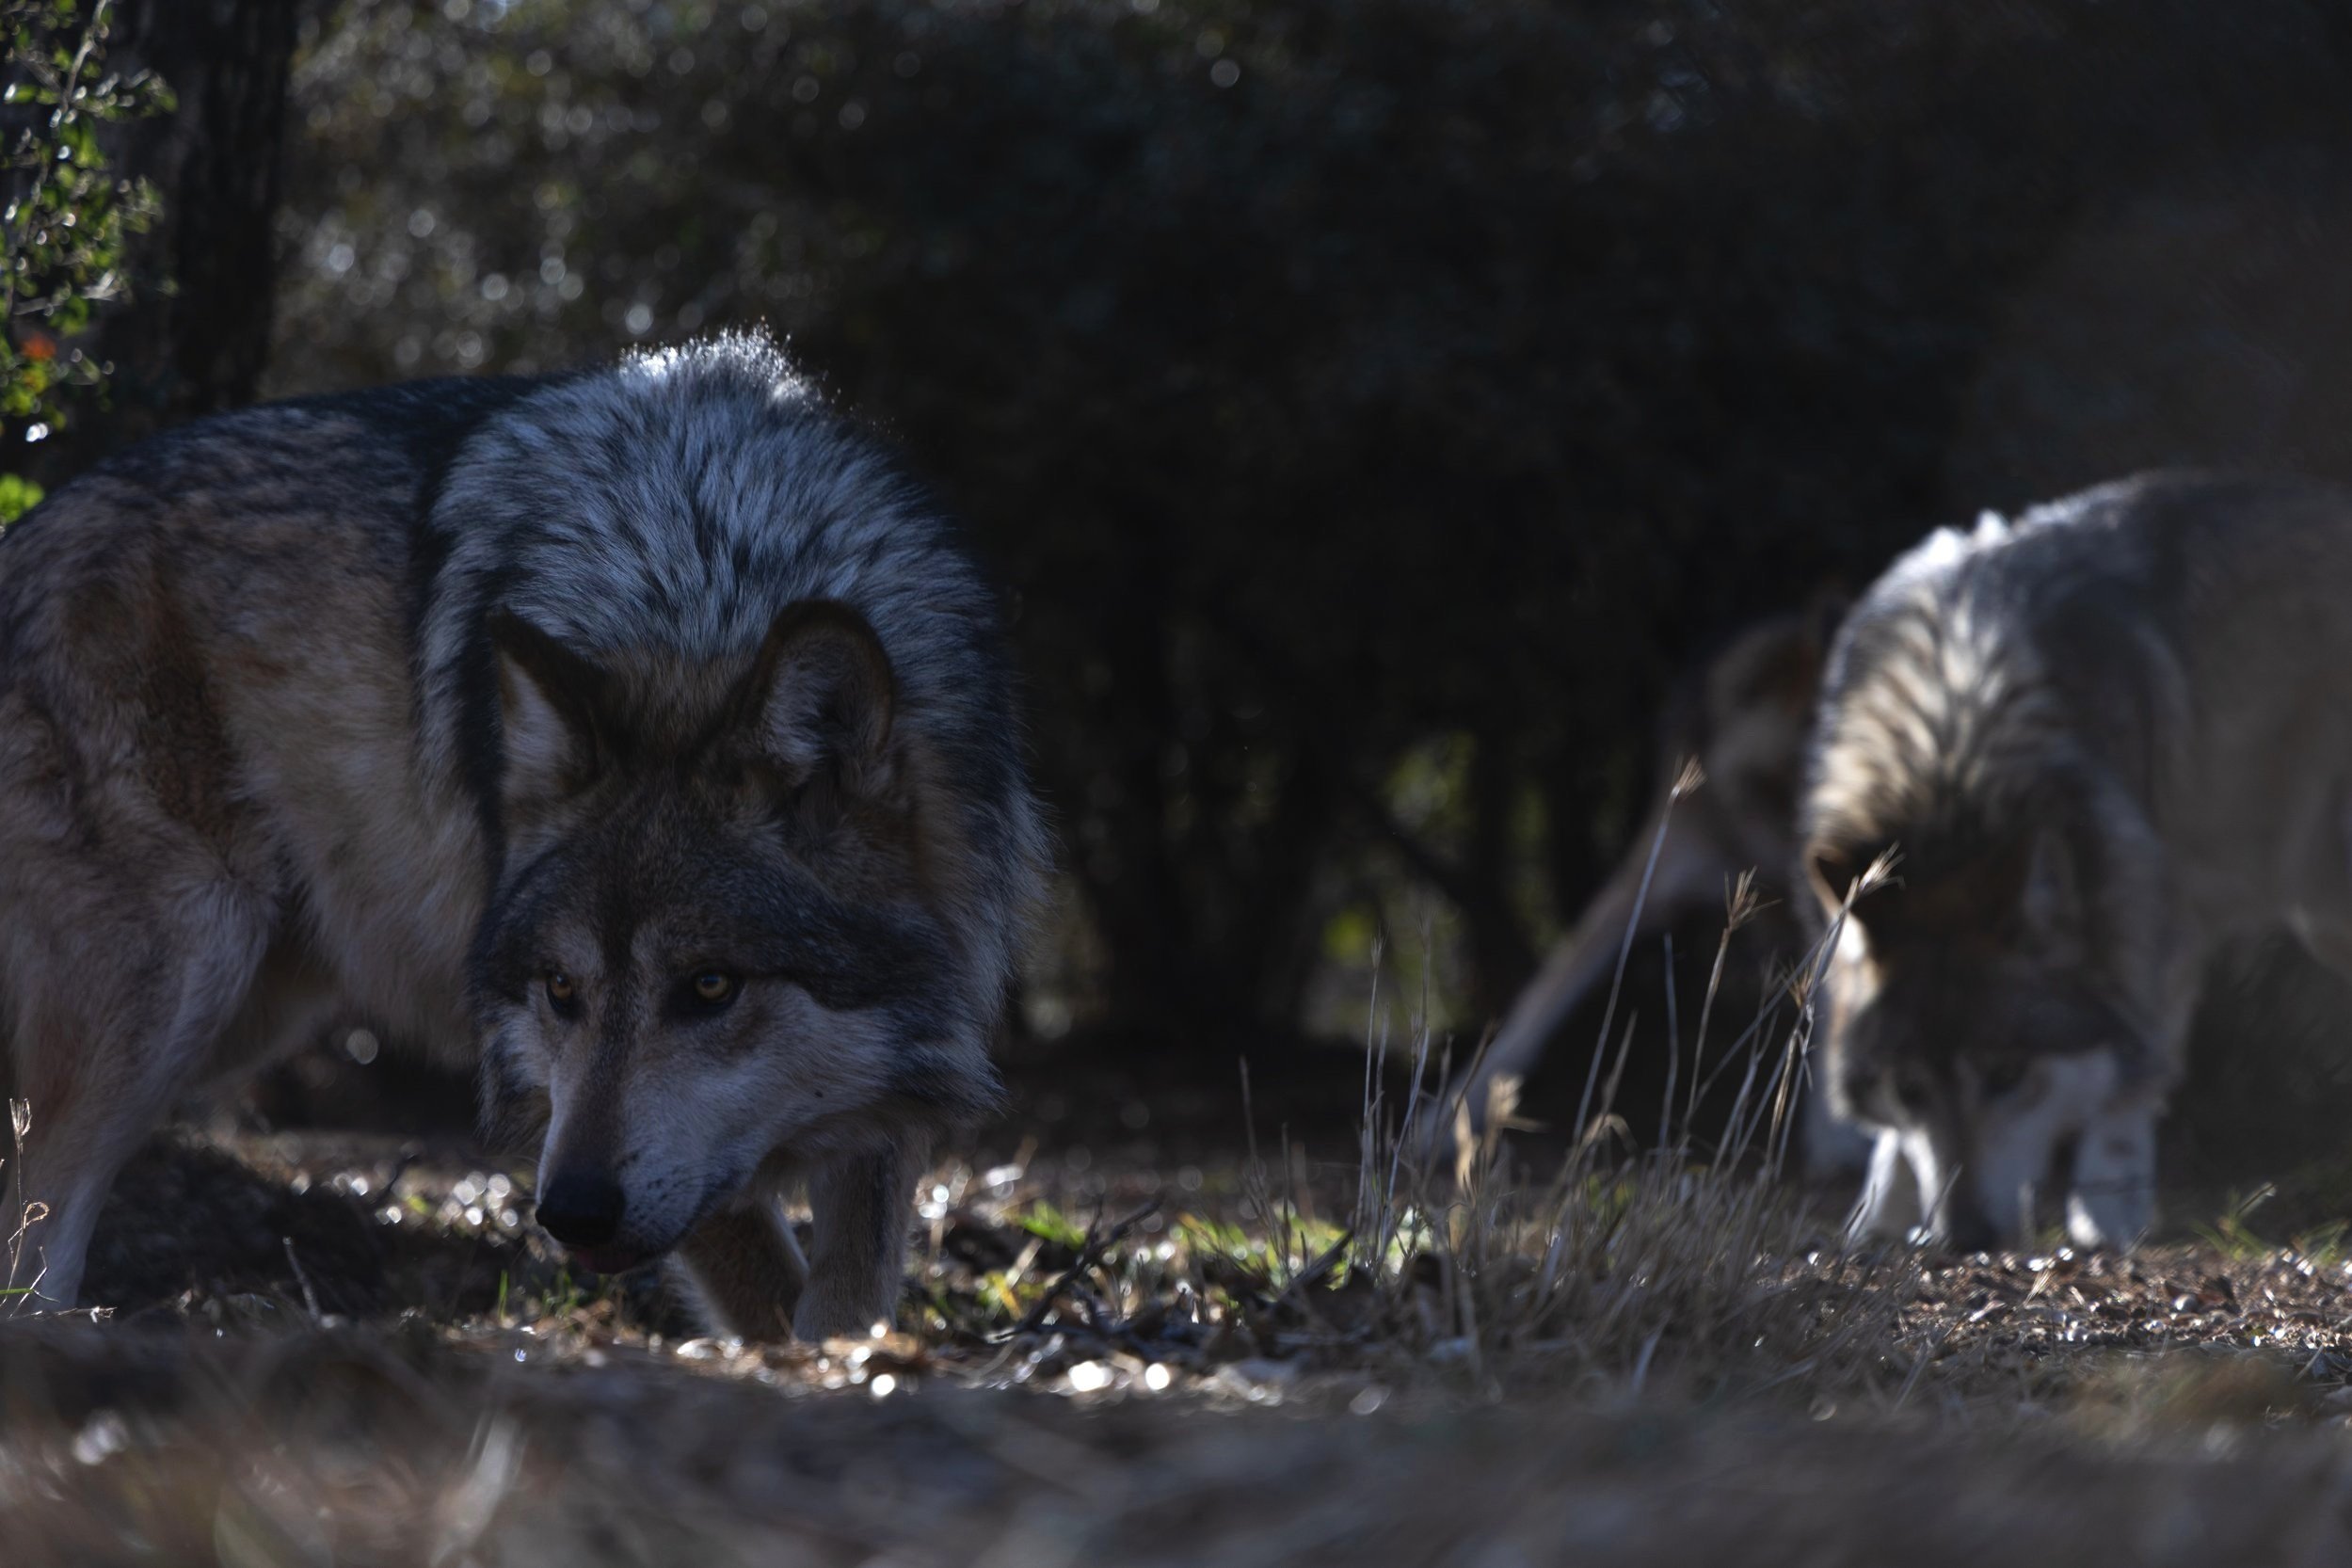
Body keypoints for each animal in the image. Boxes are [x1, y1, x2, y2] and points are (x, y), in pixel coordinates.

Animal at [0, 334, 1047, 1338]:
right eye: (560, 990)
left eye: (712, 987)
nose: (570, 1213)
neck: (711, 585)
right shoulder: (561, 1095)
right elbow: (771, 1302)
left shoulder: (895, 1072)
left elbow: (846, 1295)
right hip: (182, 971)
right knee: (36, 1240)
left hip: (247, 1009)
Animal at [1802, 471, 2352, 1253]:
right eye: (1908, 1088)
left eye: (2007, 1074)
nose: (1966, 1238)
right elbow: (1890, 1139)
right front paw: (1879, 1217)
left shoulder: (2148, 907)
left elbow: (2128, 1077)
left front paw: (2107, 1219)